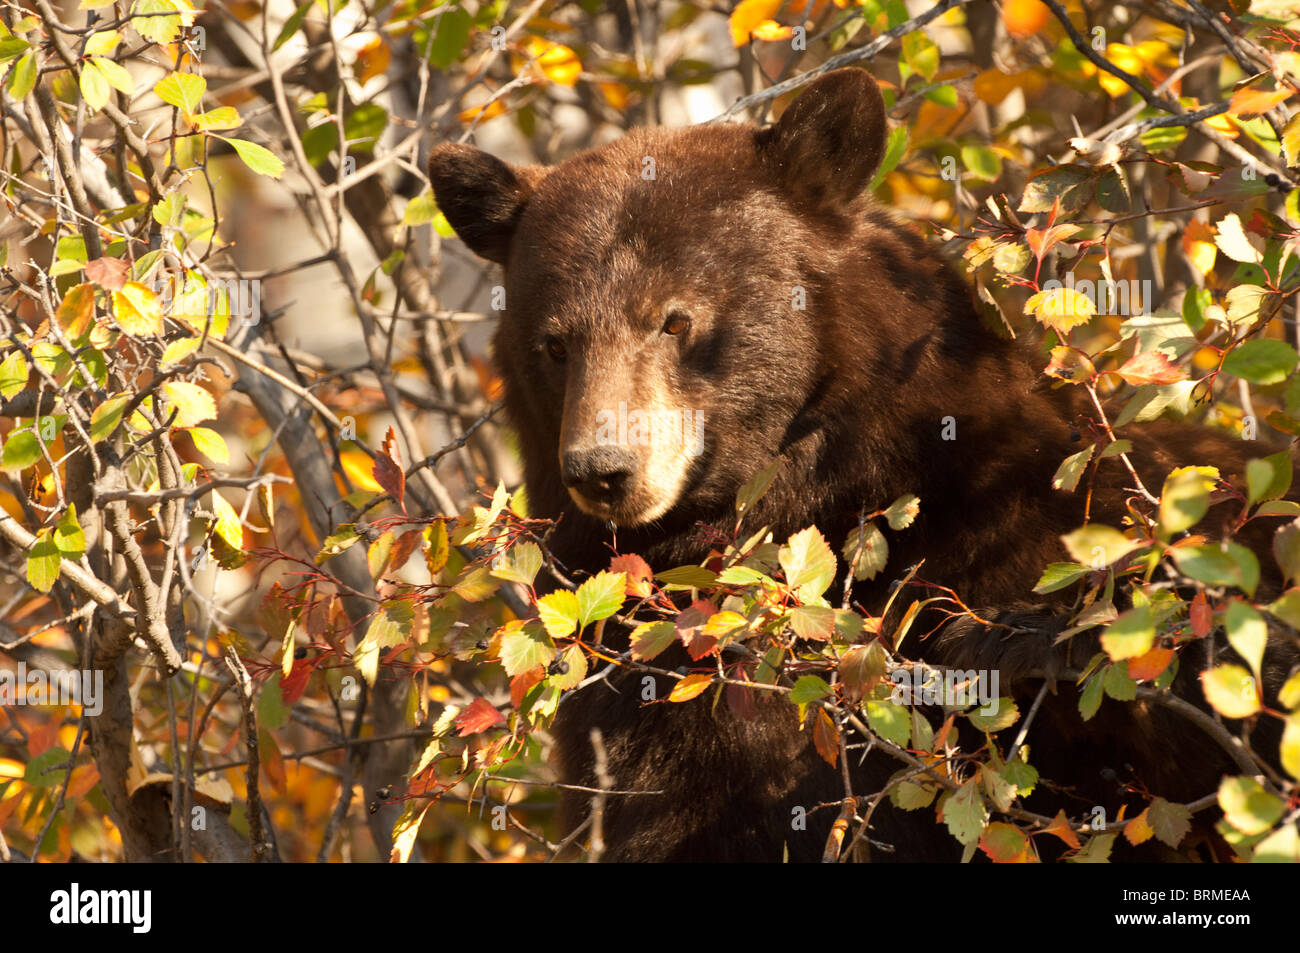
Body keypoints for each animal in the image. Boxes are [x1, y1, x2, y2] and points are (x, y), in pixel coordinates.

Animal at [428, 68, 1298, 862]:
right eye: (554, 342)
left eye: (676, 319)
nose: (603, 469)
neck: (827, 492)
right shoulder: (645, 703)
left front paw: (1021, 644)